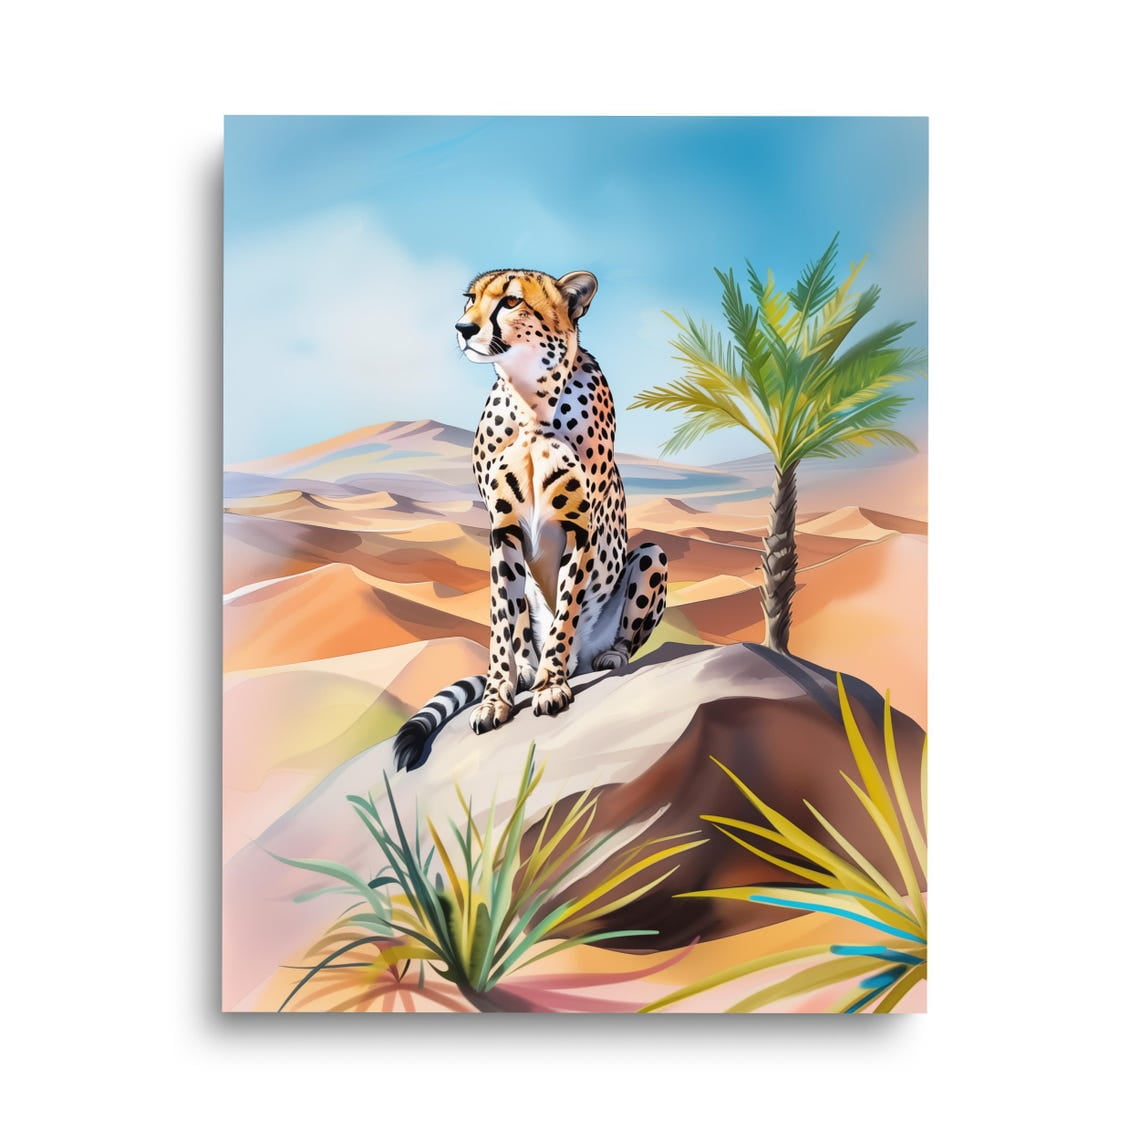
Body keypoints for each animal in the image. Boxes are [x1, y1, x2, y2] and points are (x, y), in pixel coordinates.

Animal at [393, 268, 668, 772]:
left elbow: (565, 615)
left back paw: (605, 659)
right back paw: (524, 671)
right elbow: (501, 620)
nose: (463, 328)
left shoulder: (580, 528)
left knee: (615, 633)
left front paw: (550, 685)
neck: (530, 402)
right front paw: (496, 698)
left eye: (510, 302)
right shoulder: (502, 531)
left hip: (651, 556)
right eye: (470, 299)